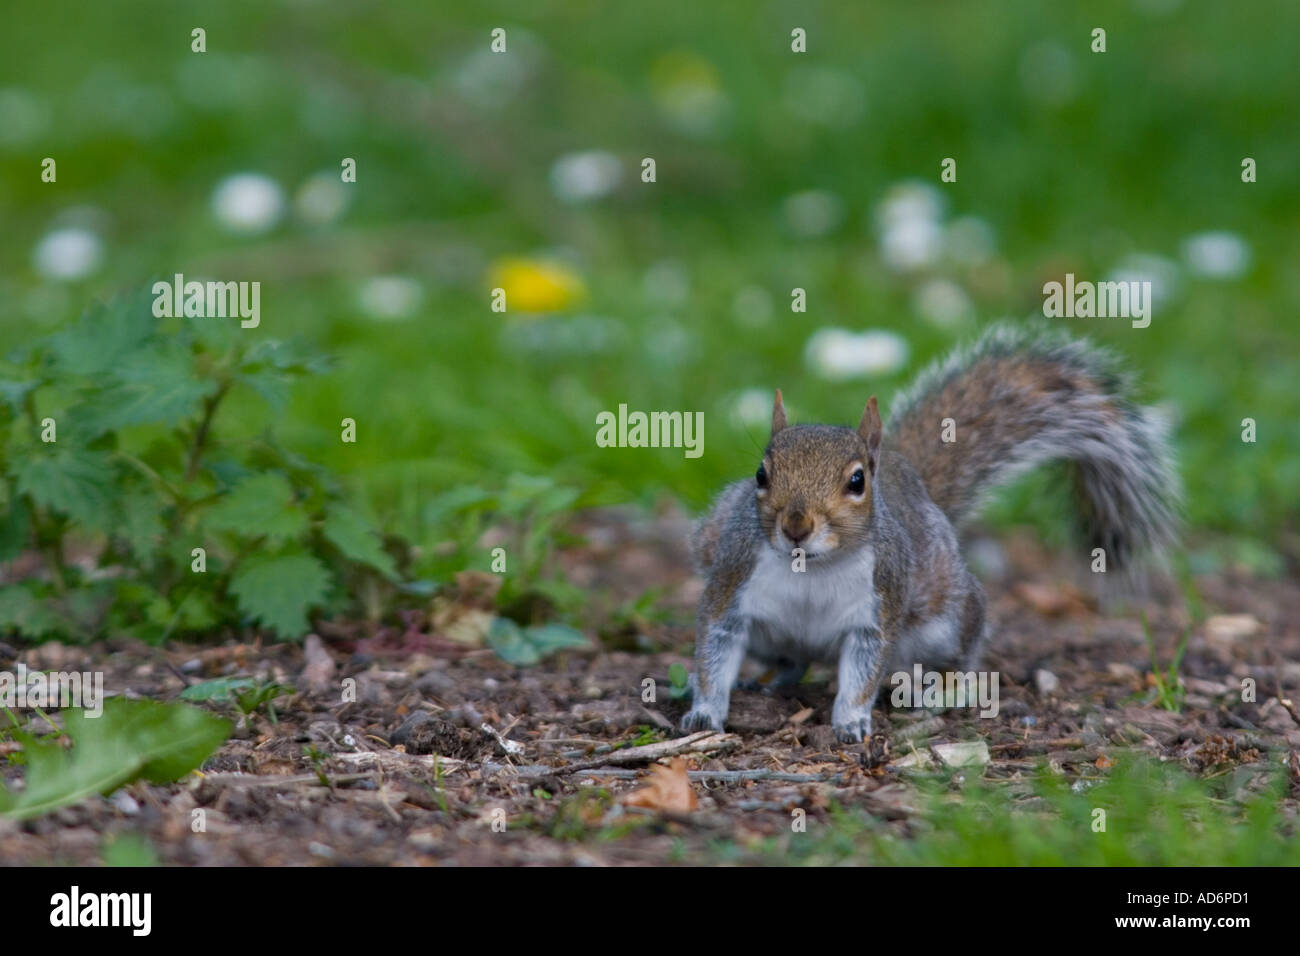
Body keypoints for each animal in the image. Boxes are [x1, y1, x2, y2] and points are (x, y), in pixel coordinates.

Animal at [682, 324, 1179, 743]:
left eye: (857, 481)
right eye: (761, 475)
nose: (796, 526)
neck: (812, 567)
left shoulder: (877, 609)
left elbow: (862, 673)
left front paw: (851, 721)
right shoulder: (732, 580)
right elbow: (714, 650)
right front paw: (705, 710)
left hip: (946, 618)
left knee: (961, 653)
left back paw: (942, 687)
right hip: (767, 629)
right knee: (793, 659)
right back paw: (764, 680)